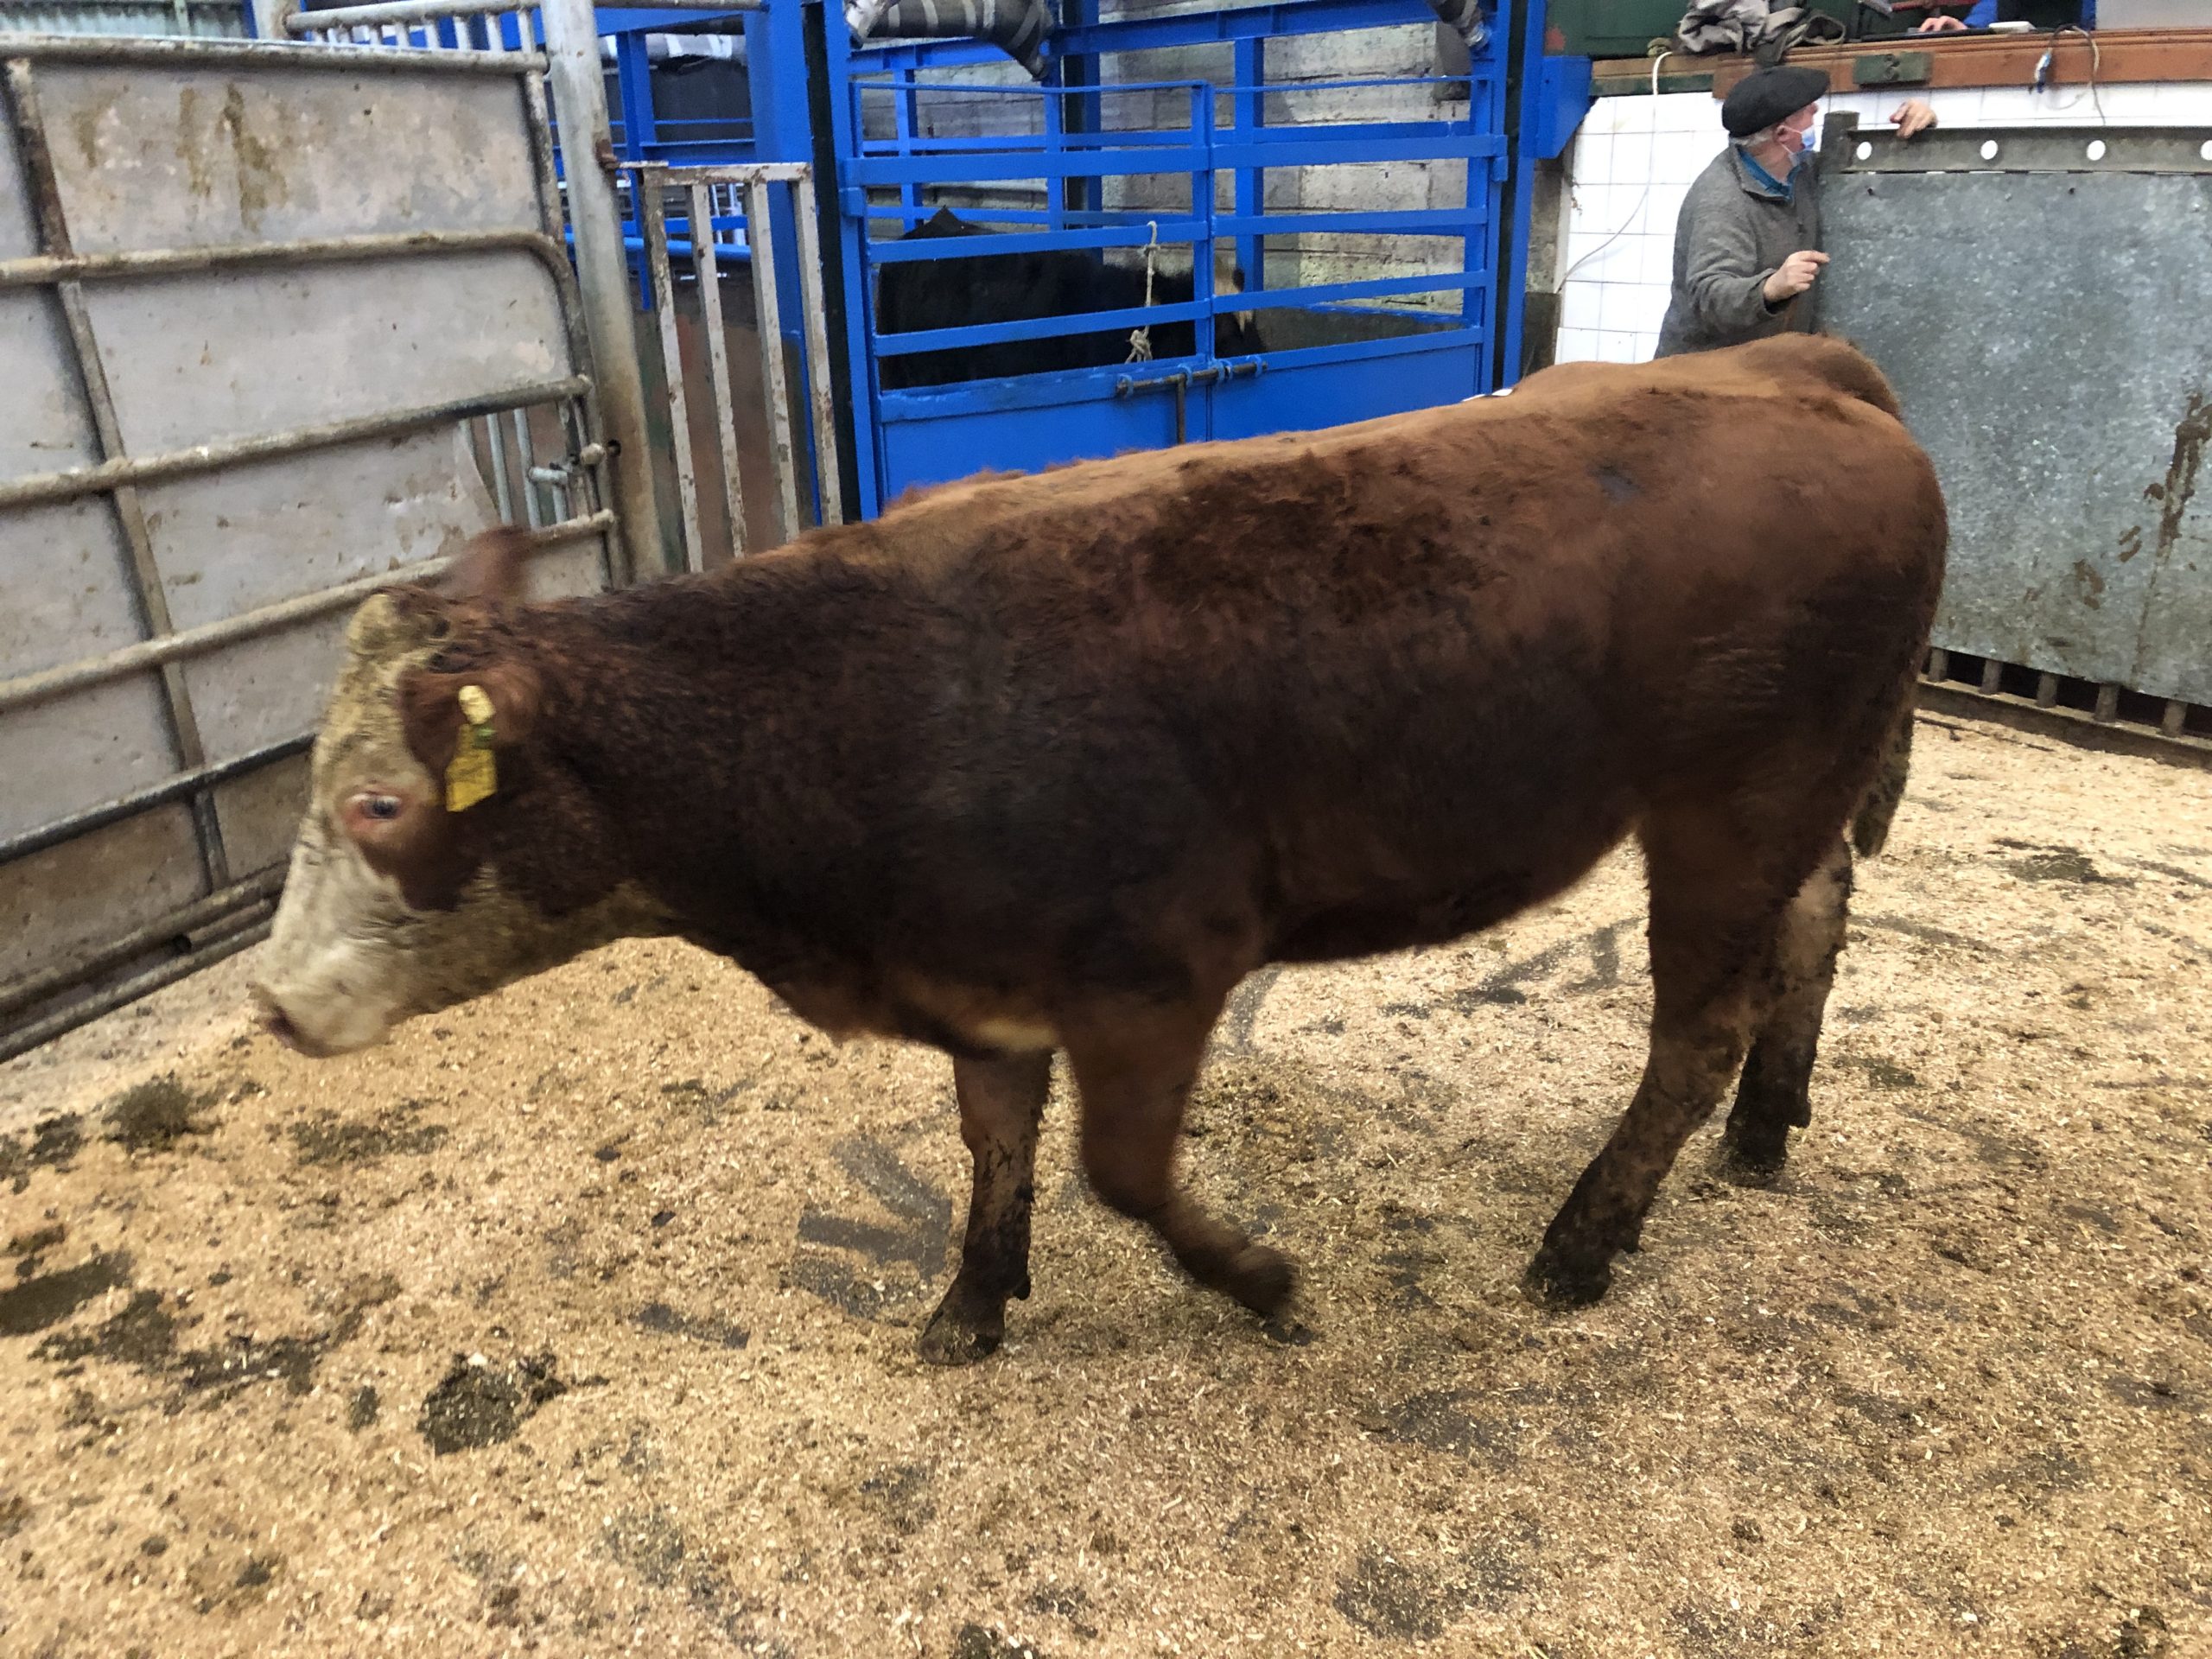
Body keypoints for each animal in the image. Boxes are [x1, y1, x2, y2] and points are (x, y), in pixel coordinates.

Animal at [253, 334, 1946, 1366]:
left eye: (381, 806)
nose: (269, 1001)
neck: (866, 701)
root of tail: (1794, 368)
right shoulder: (979, 987)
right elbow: (995, 1144)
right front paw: (972, 1296)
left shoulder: (1159, 975)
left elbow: (1118, 1172)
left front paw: (1261, 1283)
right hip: (1796, 803)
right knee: (1814, 931)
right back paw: (1767, 1130)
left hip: (1728, 810)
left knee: (1696, 1027)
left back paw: (1587, 1240)